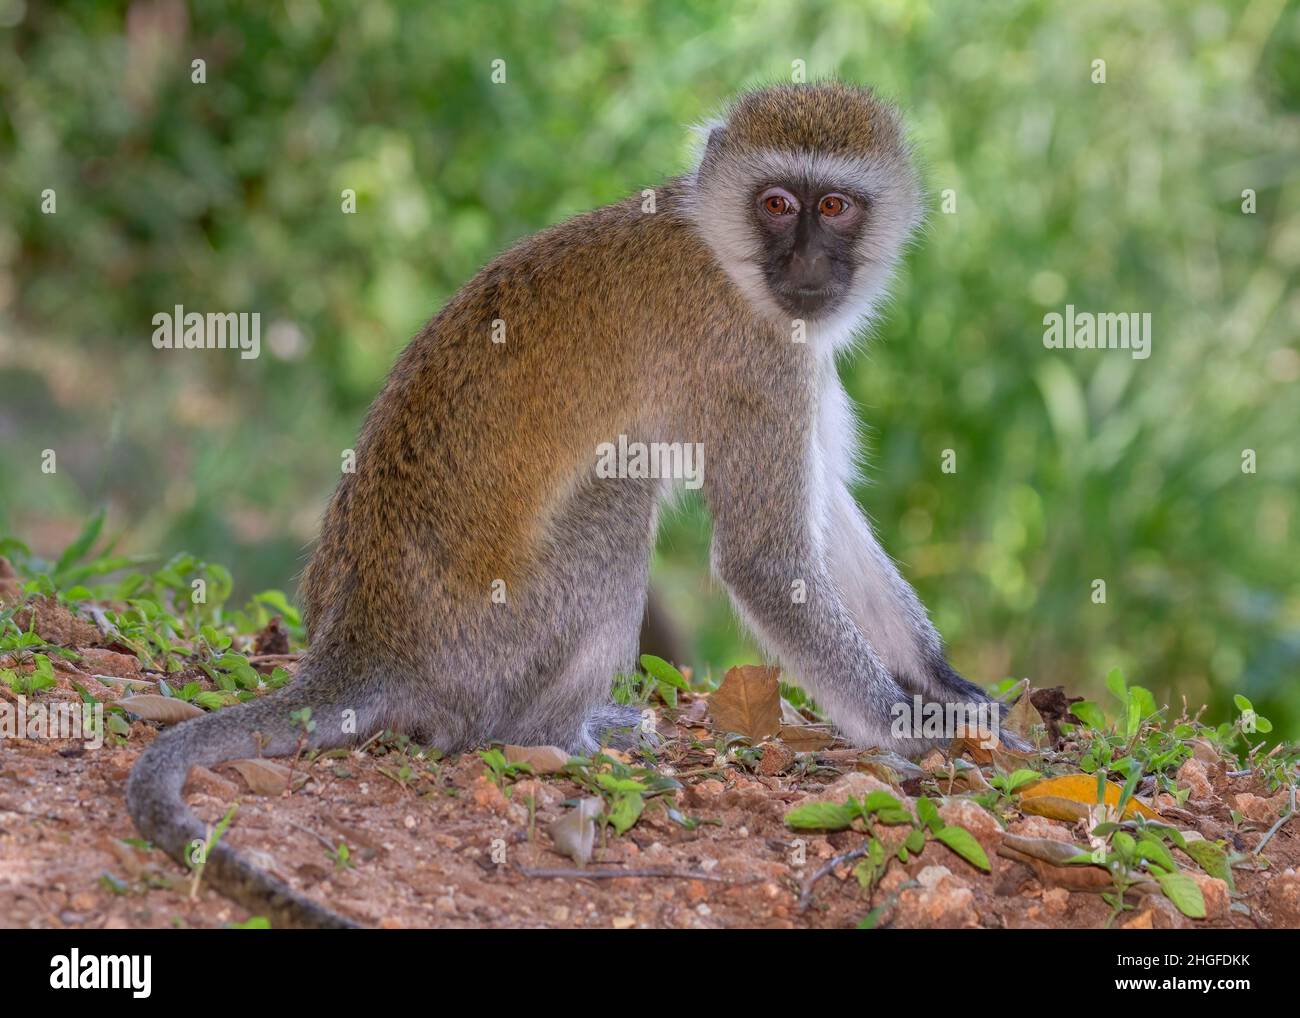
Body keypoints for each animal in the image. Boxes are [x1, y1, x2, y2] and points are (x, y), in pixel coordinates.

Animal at [127, 82, 1008, 928]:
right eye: (777, 203)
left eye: (833, 207)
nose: (805, 261)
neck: (724, 254)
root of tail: (365, 644)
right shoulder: (753, 365)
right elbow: (769, 563)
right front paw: (906, 727)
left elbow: (831, 523)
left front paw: (947, 684)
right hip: (492, 645)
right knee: (618, 491)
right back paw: (558, 738)